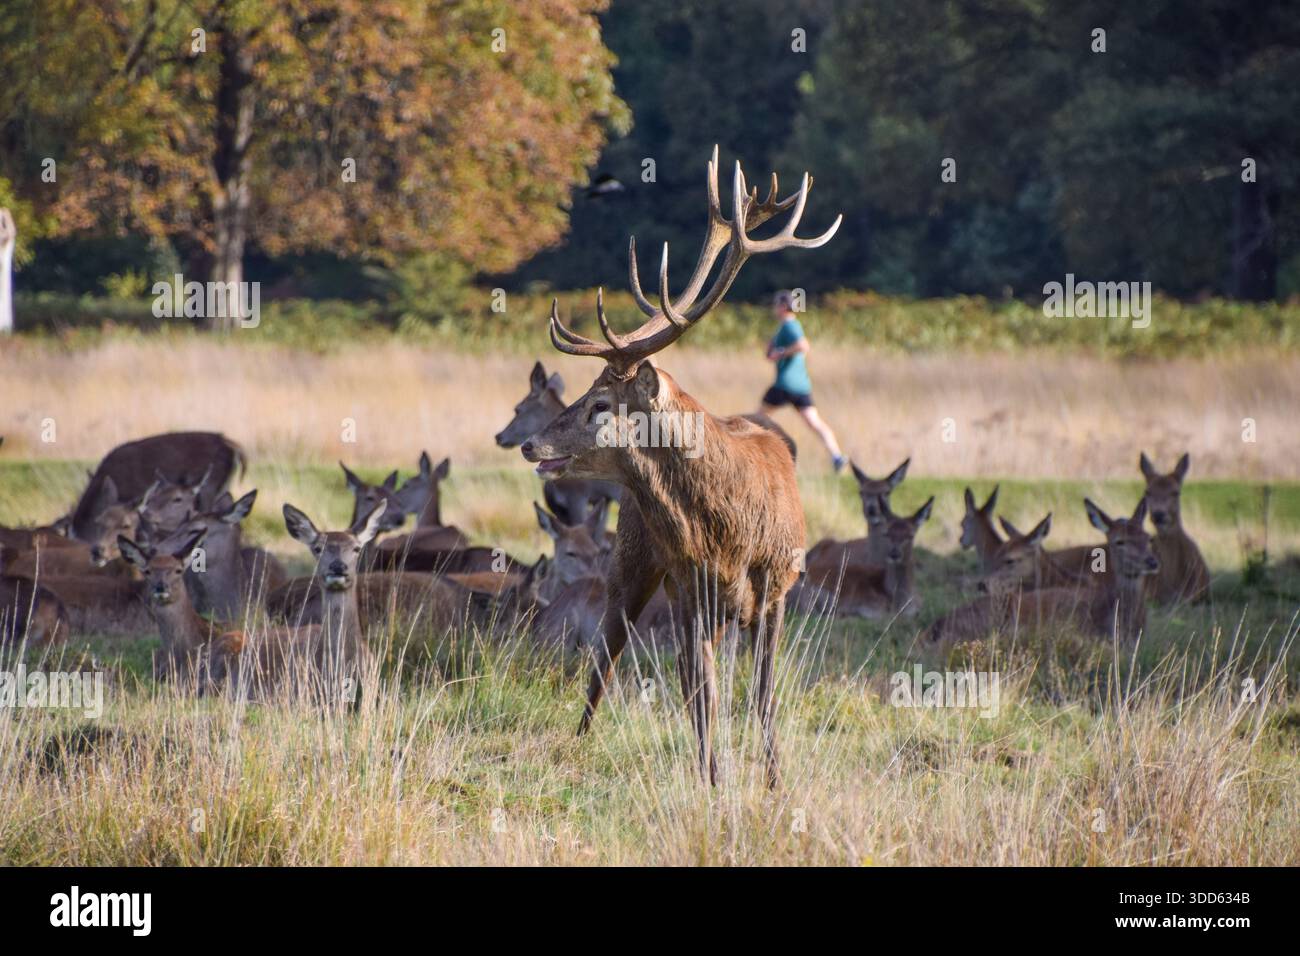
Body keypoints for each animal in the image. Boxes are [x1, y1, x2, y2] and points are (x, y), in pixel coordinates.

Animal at [519, 147, 841, 787]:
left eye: (600, 404)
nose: (530, 444)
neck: (729, 531)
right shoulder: (693, 585)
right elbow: (704, 690)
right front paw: (715, 778)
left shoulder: (776, 585)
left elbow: (762, 692)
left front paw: (771, 778)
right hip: (635, 564)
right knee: (609, 659)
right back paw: (581, 742)